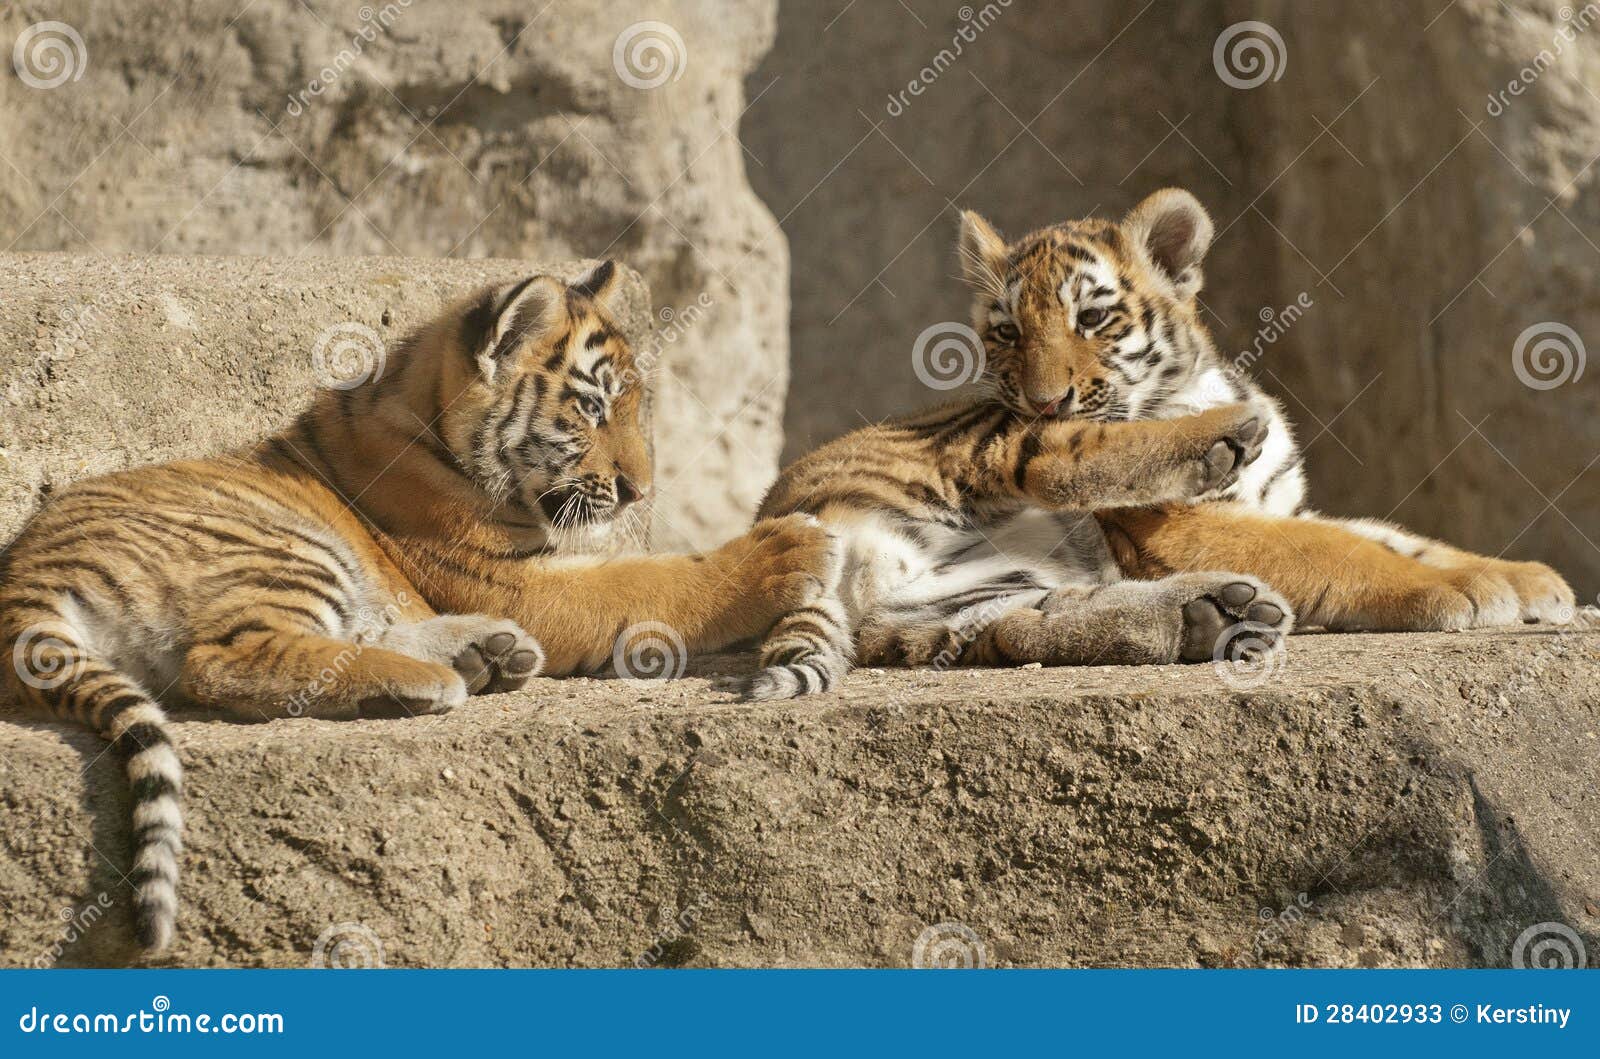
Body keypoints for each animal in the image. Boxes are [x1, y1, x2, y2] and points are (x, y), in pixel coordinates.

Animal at [0, 260, 835, 951]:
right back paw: (430, 679)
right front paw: (792, 548)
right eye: (591, 409)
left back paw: (486, 653)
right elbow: (656, 579)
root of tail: (24, 574)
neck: (424, 415)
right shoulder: (524, 582)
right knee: (225, 659)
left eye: (634, 409)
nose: (639, 490)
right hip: (284, 547)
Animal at [740, 188, 1574, 699]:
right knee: (1058, 464)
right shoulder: (1182, 524)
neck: (1193, 387)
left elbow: (1394, 534)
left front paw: (1524, 580)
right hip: (989, 450)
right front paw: (1457, 593)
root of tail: (791, 522)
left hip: (958, 599)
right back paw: (1222, 455)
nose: (1044, 397)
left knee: (1027, 626)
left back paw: (1212, 614)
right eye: (1006, 331)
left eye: (1092, 318)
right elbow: (1347, 551)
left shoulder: (1282, 505)